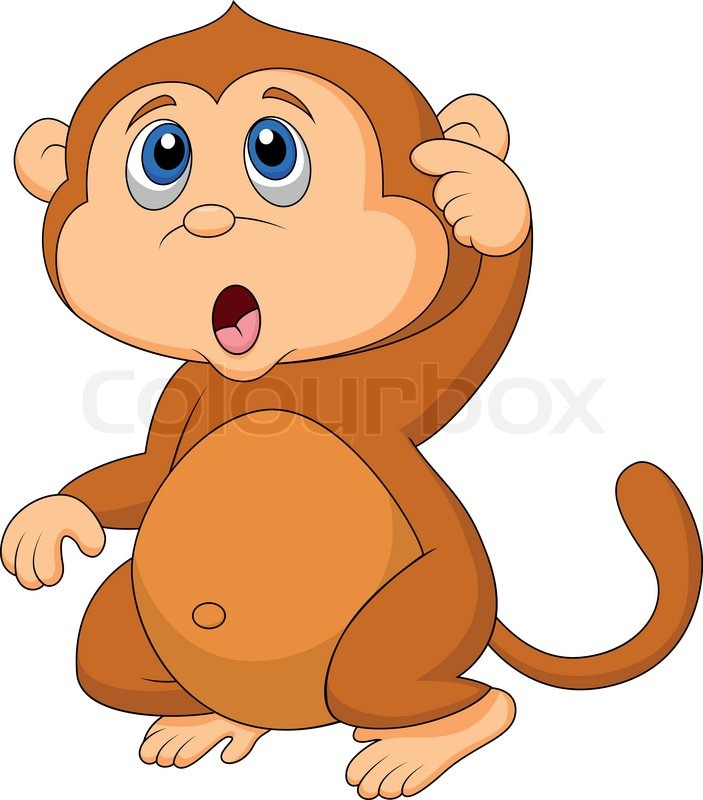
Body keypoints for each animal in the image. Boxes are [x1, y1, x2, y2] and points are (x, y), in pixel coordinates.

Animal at [2, 4, 701, 799]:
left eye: (272, 151)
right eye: (164, 156)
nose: (209, 220)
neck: (260, 376)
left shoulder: (385, 380)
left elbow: (467, 331)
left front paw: (486, 198)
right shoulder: (185, 389)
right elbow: (150, 476)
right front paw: (51, 519)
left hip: (425, 616)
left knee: (442, 691)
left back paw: (420, 743)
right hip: (137, 631)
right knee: (111, 661)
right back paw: (210, 721)